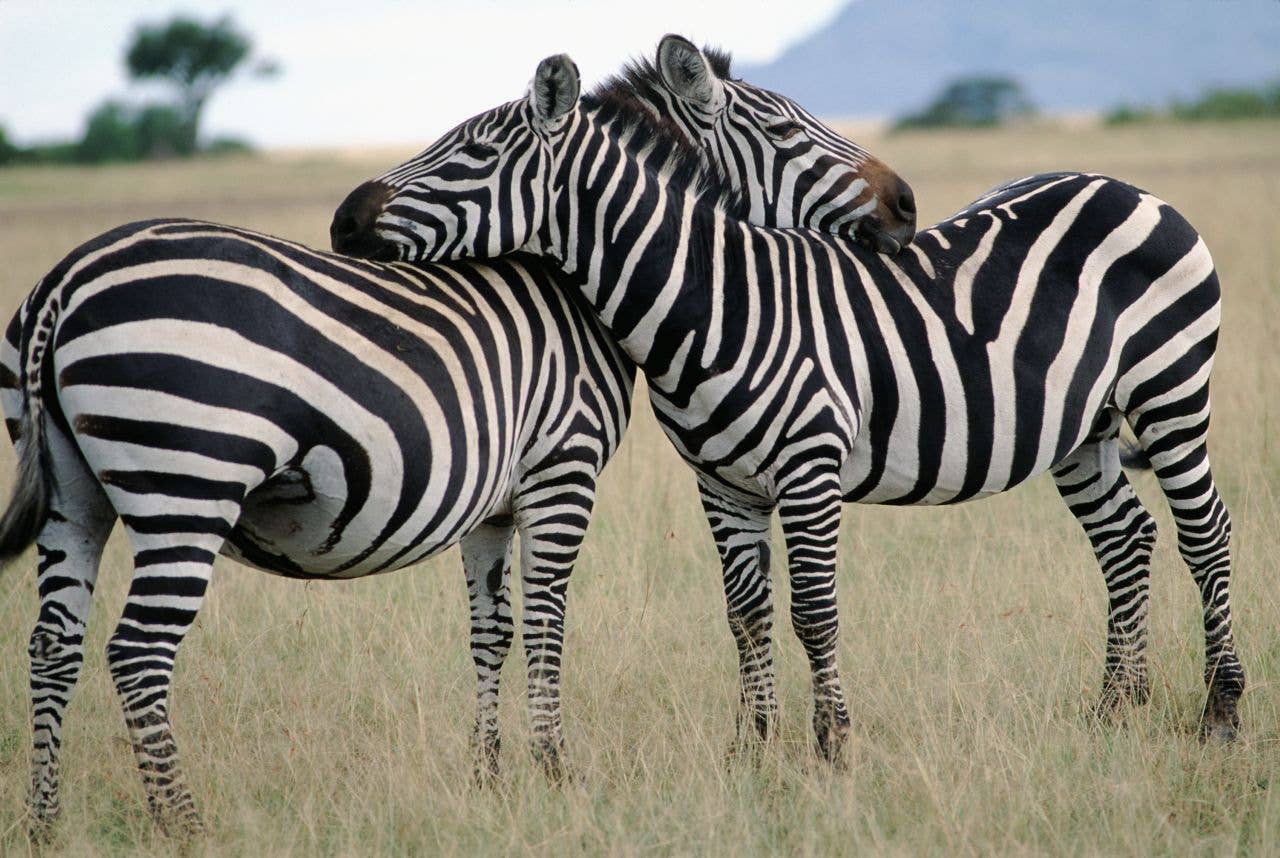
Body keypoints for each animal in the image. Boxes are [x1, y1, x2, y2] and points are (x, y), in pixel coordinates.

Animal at [0, 43, 909, 836]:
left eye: (470, 146)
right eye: (787, 130)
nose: (905, 204)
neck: (577, 286)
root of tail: (63, 282)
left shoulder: (494, 502)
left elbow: (492, 632)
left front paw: (490, 780)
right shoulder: (561, 468)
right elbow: (547, 621)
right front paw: (556, 775)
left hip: (76, 495)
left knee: (53, 647)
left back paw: (46, 823)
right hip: (186, 482)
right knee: (137, 655)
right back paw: (185, 825)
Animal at [336, 54, 1244, 764]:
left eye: (474, 151)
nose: (344, 220)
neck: (717, 297)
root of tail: (1123, 185)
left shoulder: (810, 470)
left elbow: (814, 613)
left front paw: (832, 744)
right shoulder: (721, 484)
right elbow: (746, 615)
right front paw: (753, 747)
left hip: (1169, 389)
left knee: (1205, 533)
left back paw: (1221, 713)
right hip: (1081, 429)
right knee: (1124, 538)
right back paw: (1114, 710)